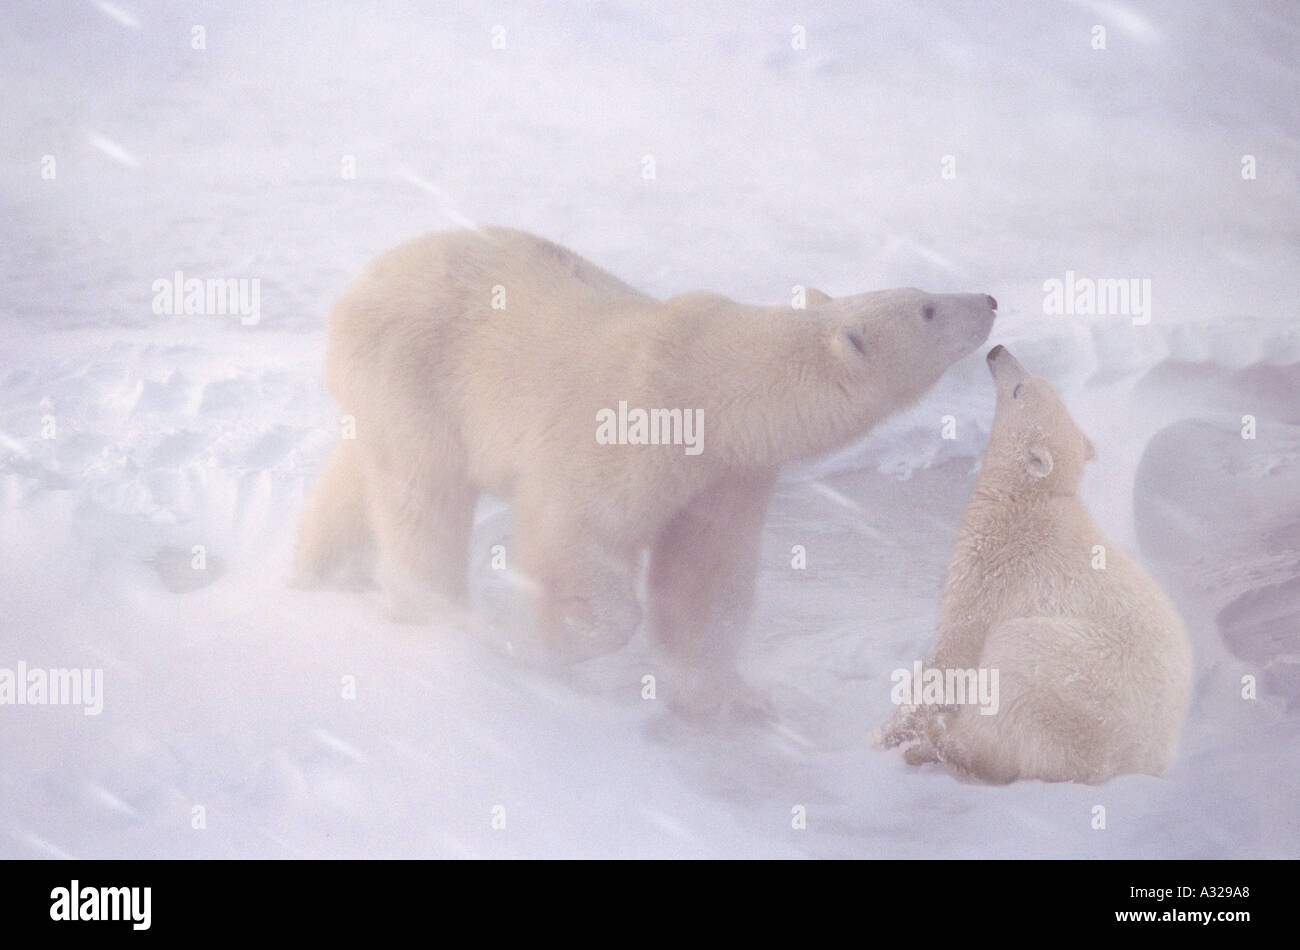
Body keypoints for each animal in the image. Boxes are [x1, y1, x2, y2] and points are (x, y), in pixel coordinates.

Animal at [293, 227, 997, 717]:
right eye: (926, 309)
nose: (989, 298)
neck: (714, 384)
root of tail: (356, 287)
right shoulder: (630, 423)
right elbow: (576, 534)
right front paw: (561, 641)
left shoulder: (728, 471)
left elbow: (704, 576)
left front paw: (730, 699)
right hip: (413, 367)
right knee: (424, 494)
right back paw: (450, 624)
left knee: (356, 484)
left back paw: (314, 575)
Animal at [874, 345, 1193, 782]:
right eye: (1035, 381)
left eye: (1019, 389)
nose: (997, 350)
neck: (1031, 498)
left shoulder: (995, 567)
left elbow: (954, 652)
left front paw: (883, 736)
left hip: (1066, 679)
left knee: (1008, 685)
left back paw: (937, 742)